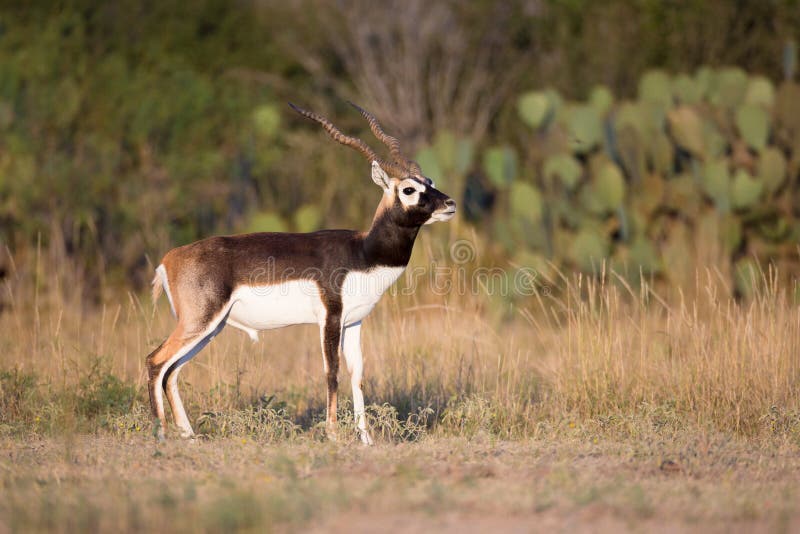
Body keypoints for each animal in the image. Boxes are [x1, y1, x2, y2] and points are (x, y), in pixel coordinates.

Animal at [146, 102, 456, 444]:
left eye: (429, 181)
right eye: (409, 189)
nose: (449, 204)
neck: (362, 252)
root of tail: (169, 260)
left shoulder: (354, 322)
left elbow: (357, 375)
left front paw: (366, 440)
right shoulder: (330, 318)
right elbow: (332, 372)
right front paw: (333, 435)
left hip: (210, 328)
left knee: (172, 371)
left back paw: (189, 436)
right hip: (199, 322)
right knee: (156, 362)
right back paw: (161, 436)